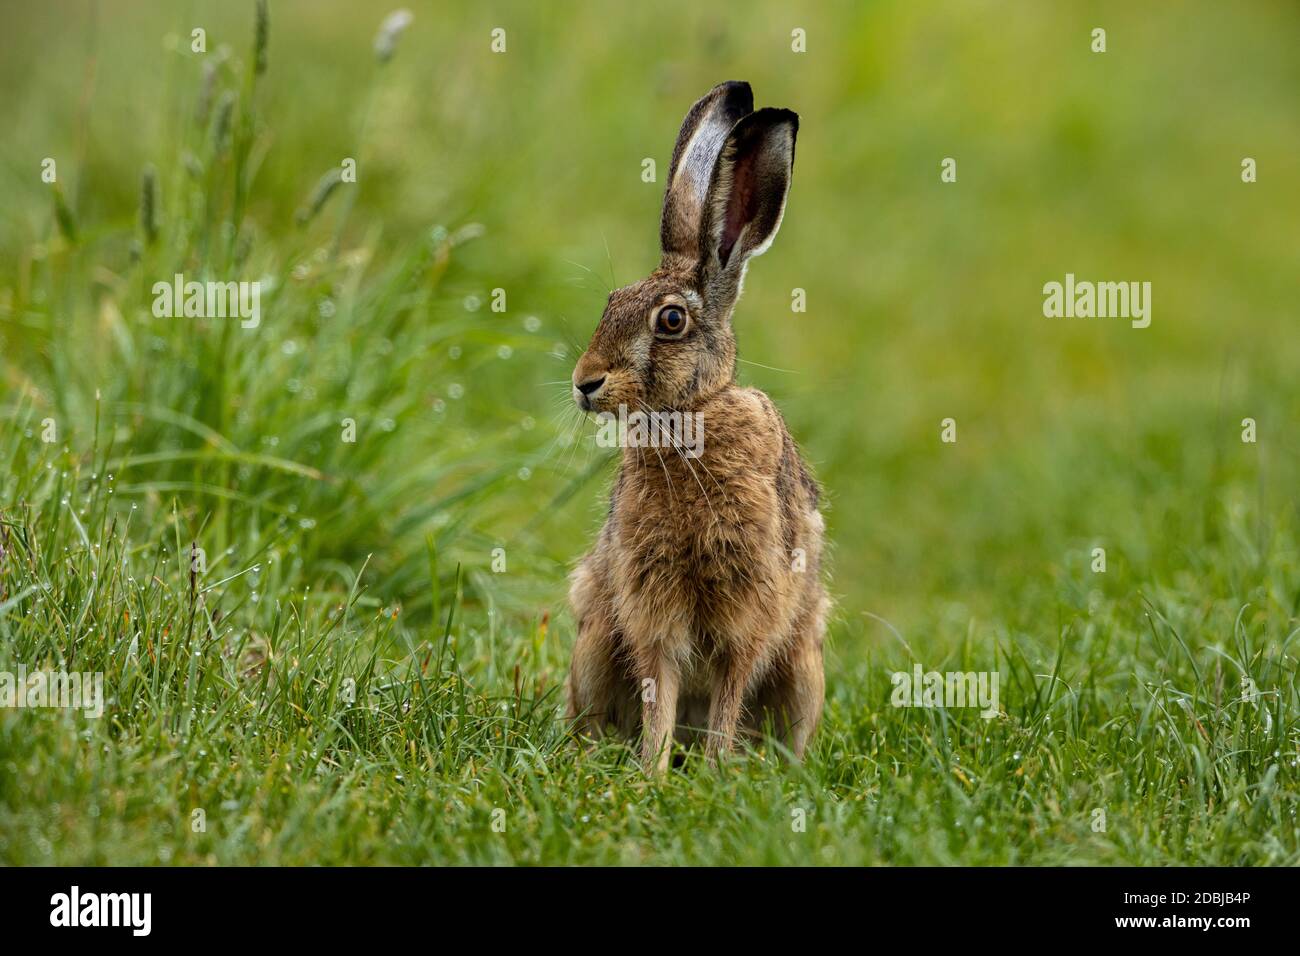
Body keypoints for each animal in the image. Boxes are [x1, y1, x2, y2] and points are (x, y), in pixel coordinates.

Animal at [565, 81, 829, 772]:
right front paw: (653, 774)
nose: (584, 382)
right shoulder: (650, 604)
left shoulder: (752, 606)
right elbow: (659, 684)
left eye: (672, 321)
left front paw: (711, 773)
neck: (691, 416)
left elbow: (731, 690)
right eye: (610, 304)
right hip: (592, 642)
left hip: (804, 669)